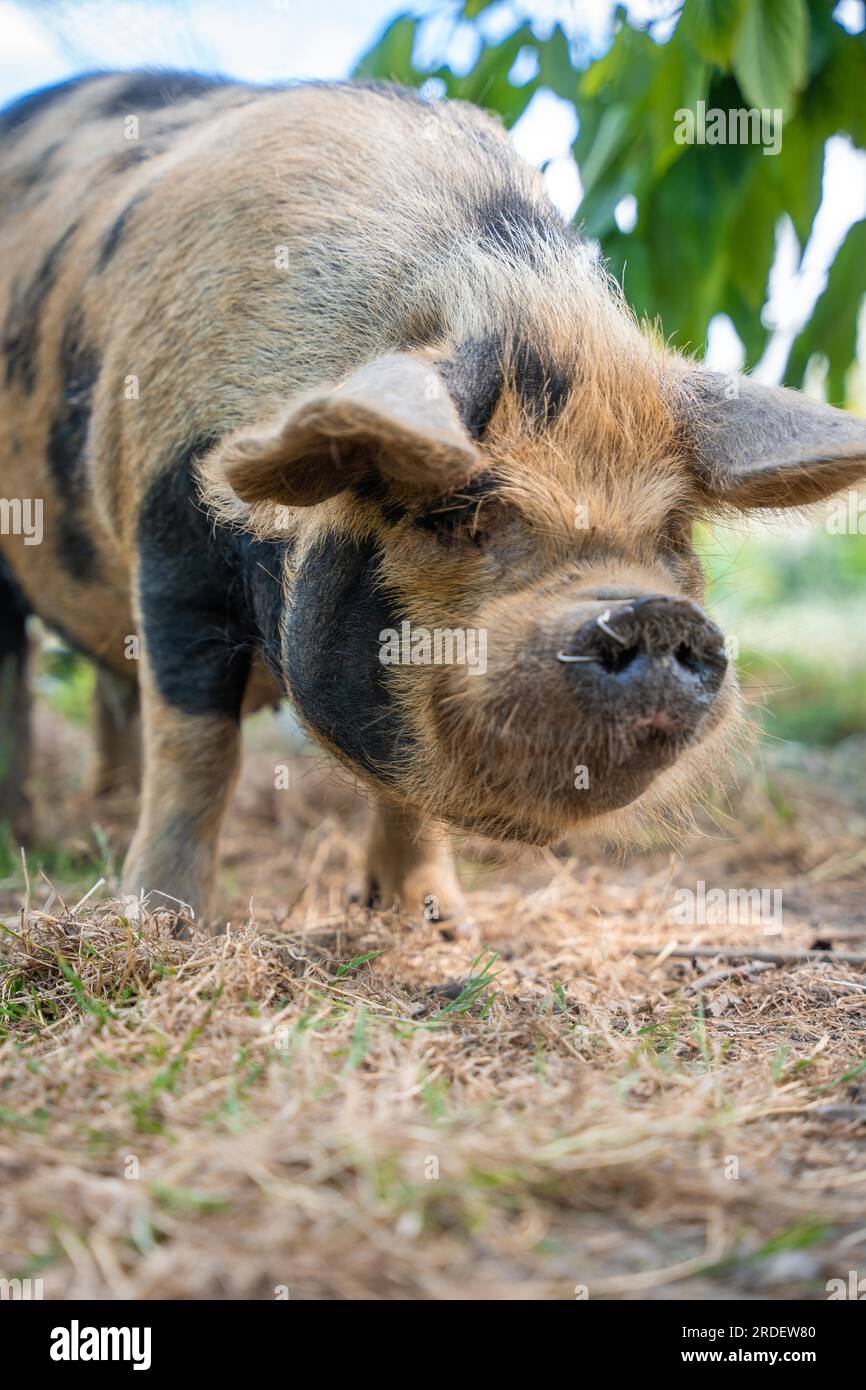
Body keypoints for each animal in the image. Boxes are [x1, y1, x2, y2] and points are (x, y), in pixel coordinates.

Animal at [1, 72, 865, 925]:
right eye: (460, 513)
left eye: (675, 533)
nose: (654, 613)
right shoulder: (169, 530)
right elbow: (197, 747)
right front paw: (161, 923)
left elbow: (408, 794)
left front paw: (436, 926)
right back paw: (39, 841)